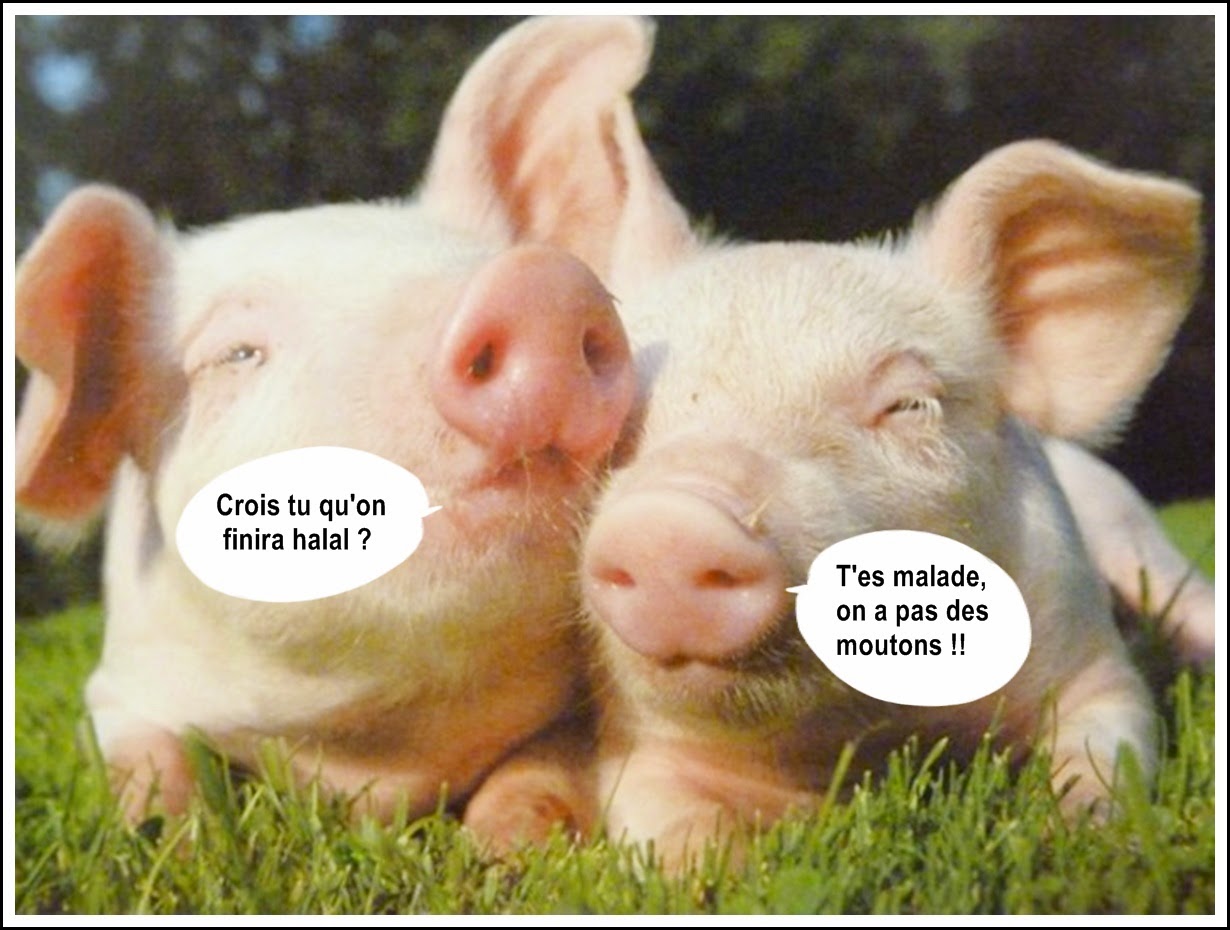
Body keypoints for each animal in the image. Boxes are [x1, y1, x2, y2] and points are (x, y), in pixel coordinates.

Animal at [14, 16, 688, 827]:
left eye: (482, 262)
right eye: (235, 354)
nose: (540, 285)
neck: (369, 755)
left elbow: (540, 769)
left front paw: (508, 843)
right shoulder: (115, 683)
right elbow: (142, 756)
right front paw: (166, 830)